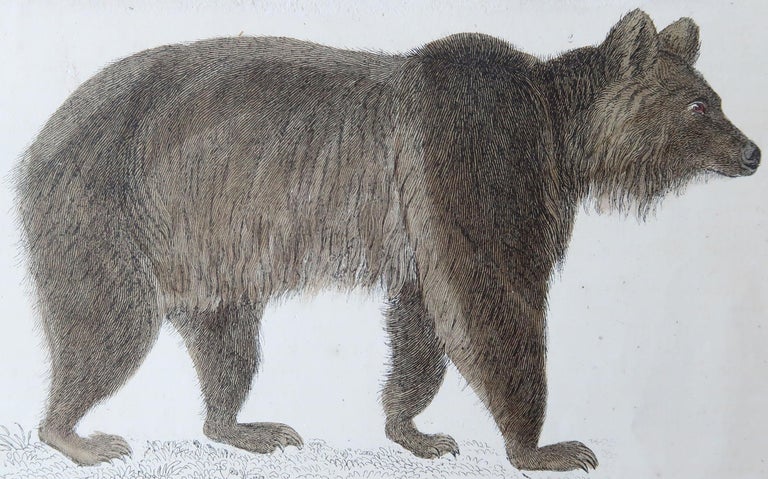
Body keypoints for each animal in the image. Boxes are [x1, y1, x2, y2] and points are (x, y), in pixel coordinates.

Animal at [13, 8, 760, 472]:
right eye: (699, 105)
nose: (752, 152)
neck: (559, 136)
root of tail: (37, 141)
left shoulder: (427, 218)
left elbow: (424, 317)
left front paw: (415, 430)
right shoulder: (476, 156)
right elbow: (489, 301)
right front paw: (547, 447)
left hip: (211, 252)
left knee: (227, 340)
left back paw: (247, 426)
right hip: (105, 211)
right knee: (107, 326)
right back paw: (75, 434)